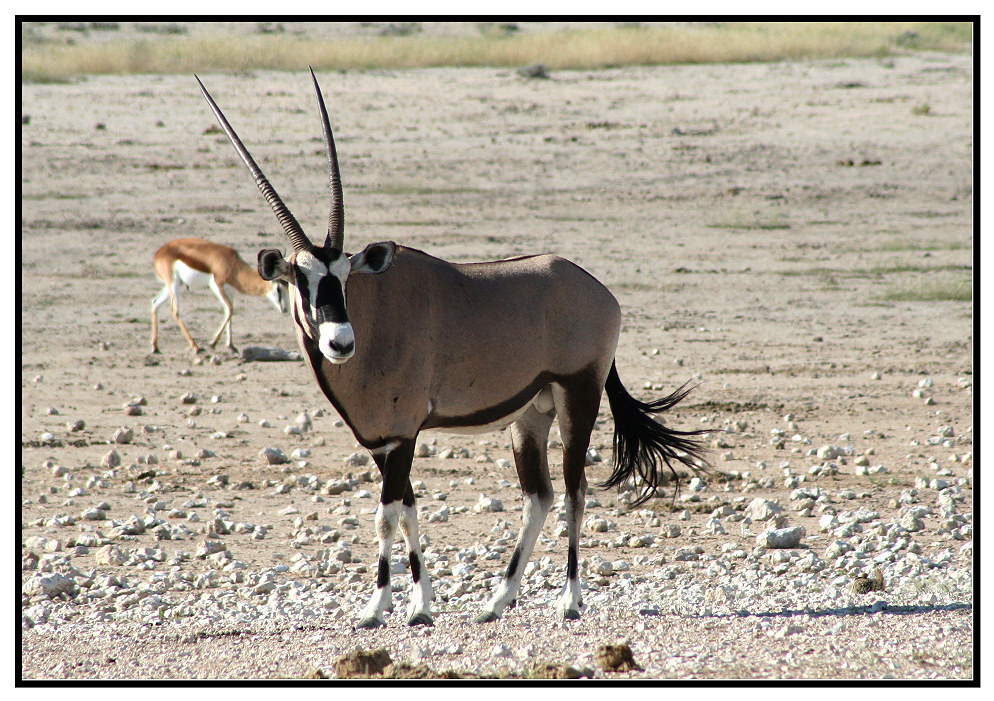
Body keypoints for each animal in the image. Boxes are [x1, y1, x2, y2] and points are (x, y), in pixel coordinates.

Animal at [147, 237, 288, 356]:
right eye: (278, 289)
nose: (285, 309)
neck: (233, 265)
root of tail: (158, 253)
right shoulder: (217, 286)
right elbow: (230, 310)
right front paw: (212, 343)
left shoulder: (230, 291)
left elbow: (229, 312)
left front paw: (231, 346)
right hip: (174, 283)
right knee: (175, 311)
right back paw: (196, 347)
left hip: (174, 285)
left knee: (155, 302)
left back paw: (155, 347)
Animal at [194, 71, 704, 628]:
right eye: (300, 280)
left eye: (345, 276)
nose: (340, 342)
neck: (377, 316)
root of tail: (599, 290)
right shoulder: (383, 442)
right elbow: (408, 511)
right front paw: (420, 604)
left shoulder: (403, 434)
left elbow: (386, 516)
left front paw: (378, 607)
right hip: (531, 414)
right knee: (539, 496)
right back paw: (497, 600)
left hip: (579, 396)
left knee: (575, 490)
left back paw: (570, 599)